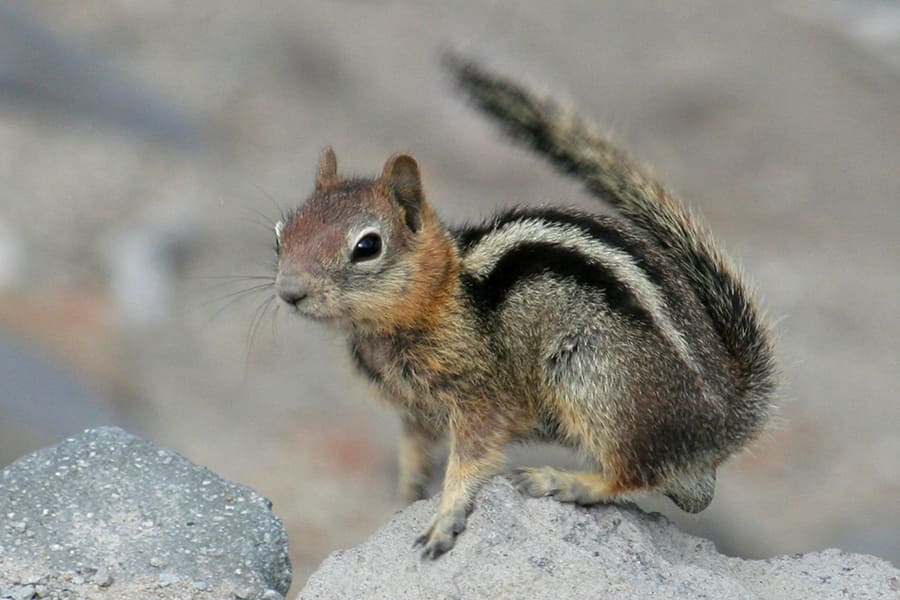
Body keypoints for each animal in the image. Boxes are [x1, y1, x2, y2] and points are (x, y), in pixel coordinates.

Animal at [272, 54, 777, 559]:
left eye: (367, 246)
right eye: (281, 234)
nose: (289, 292)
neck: (443, 294)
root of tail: (727, 415)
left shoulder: (482, 396)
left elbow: (471, 457)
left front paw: (446, 516)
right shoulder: (416, 411)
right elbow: (414, 454)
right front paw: (406, 497)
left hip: (597, 379)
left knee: (633, 472)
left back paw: (565, 482)